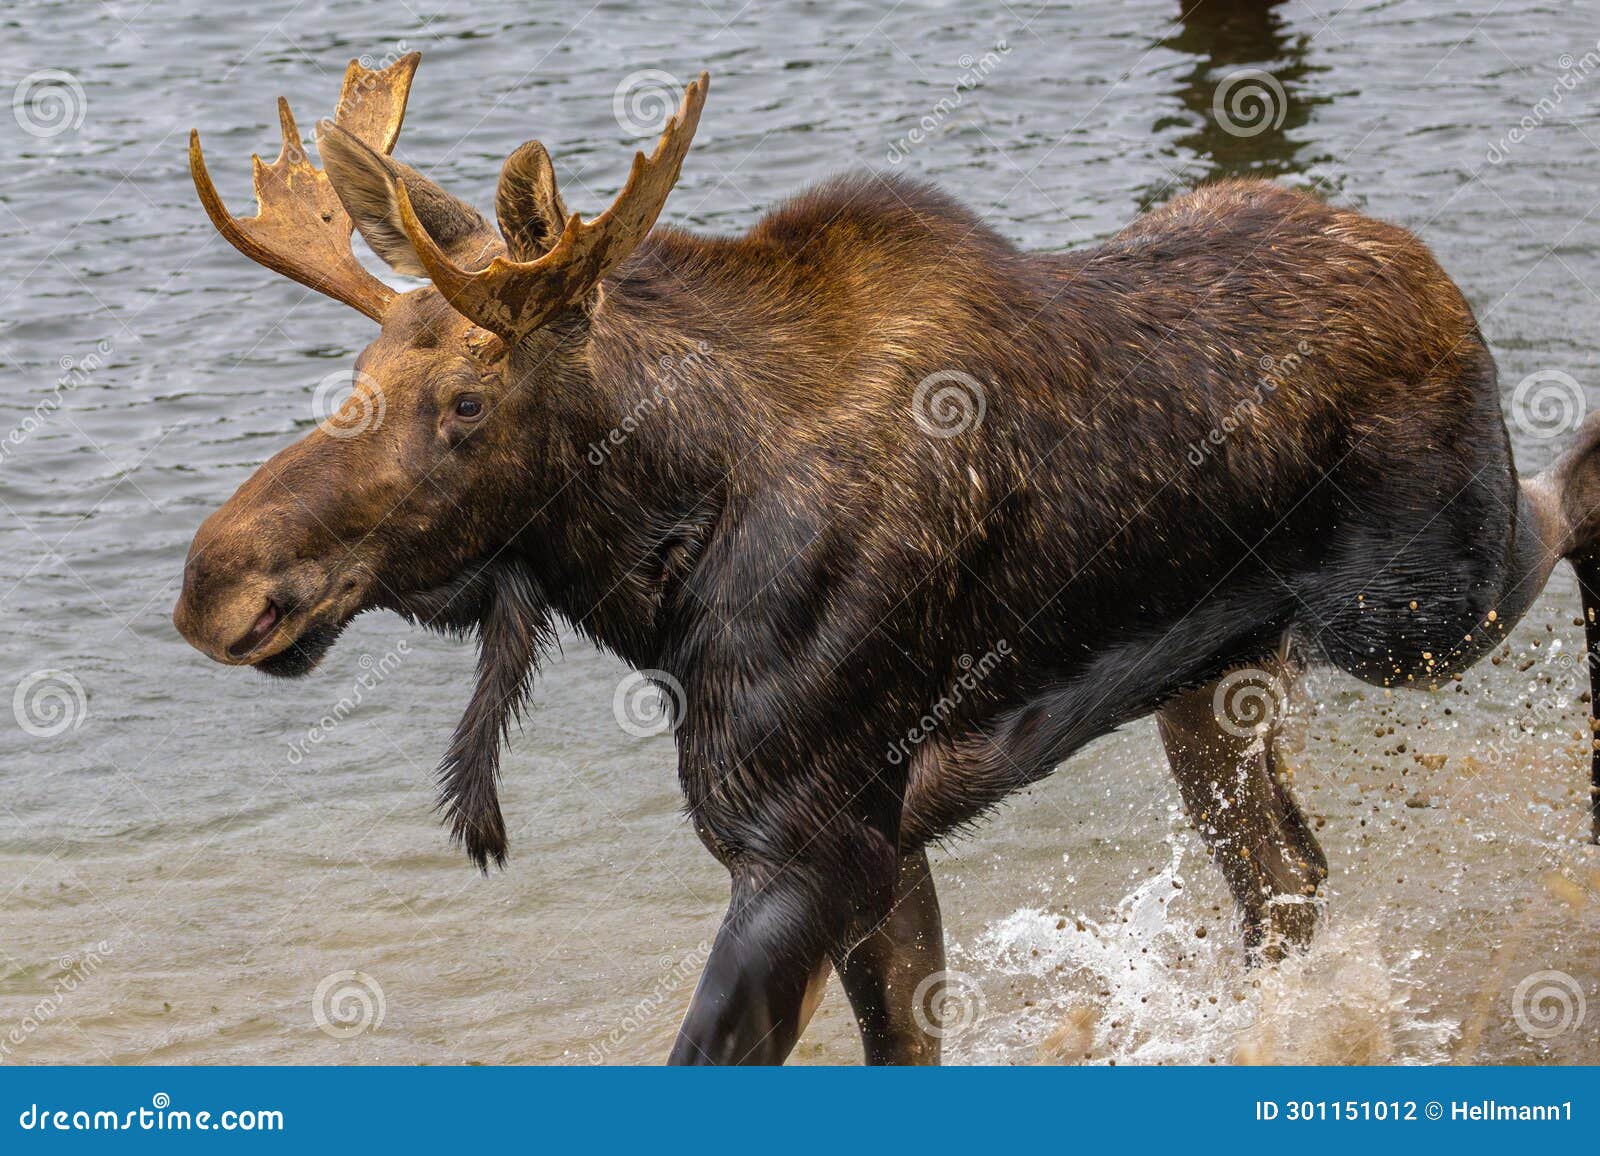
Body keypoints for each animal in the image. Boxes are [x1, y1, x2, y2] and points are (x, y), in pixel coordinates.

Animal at [173, 52, 1600, 1065]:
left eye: (465, 407)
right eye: (356, 369)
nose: (215, 586)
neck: (659, 568)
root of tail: (1424, 266)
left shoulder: (808, 844)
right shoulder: (876, 843)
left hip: (1420, 604)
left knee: (1565, 495)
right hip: (1217, 678)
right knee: (1286, 879)